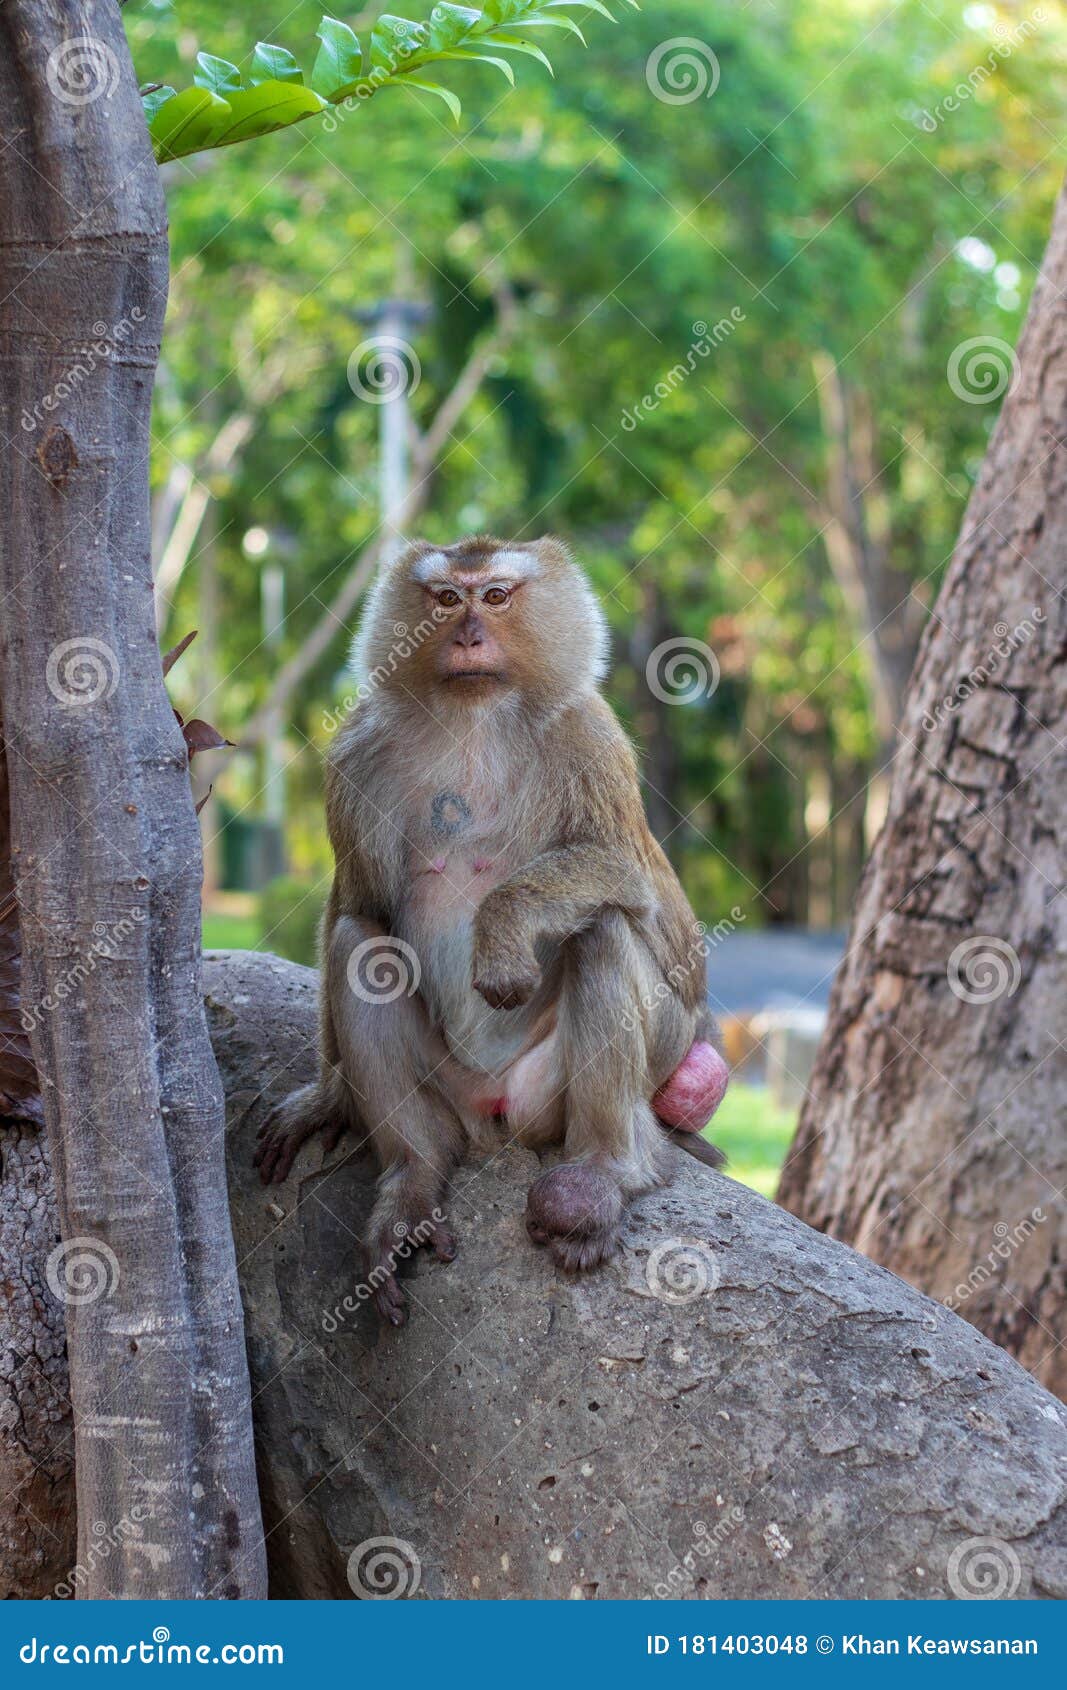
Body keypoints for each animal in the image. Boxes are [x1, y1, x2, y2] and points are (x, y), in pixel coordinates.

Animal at [254, 535, 730, 1325]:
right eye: (448, 599)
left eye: (497, 597)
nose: (469, 637)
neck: (475, 714)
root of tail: (495, 1114)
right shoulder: (354, 753)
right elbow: (358, 903)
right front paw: (325, 1097)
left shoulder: (588, 733)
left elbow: (621, 874)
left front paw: (502, 932)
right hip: (451, 1090)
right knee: (361, 948)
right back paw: (412, 1179)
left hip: (560, 1093)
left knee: (600, 928)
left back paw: (605, 1173)